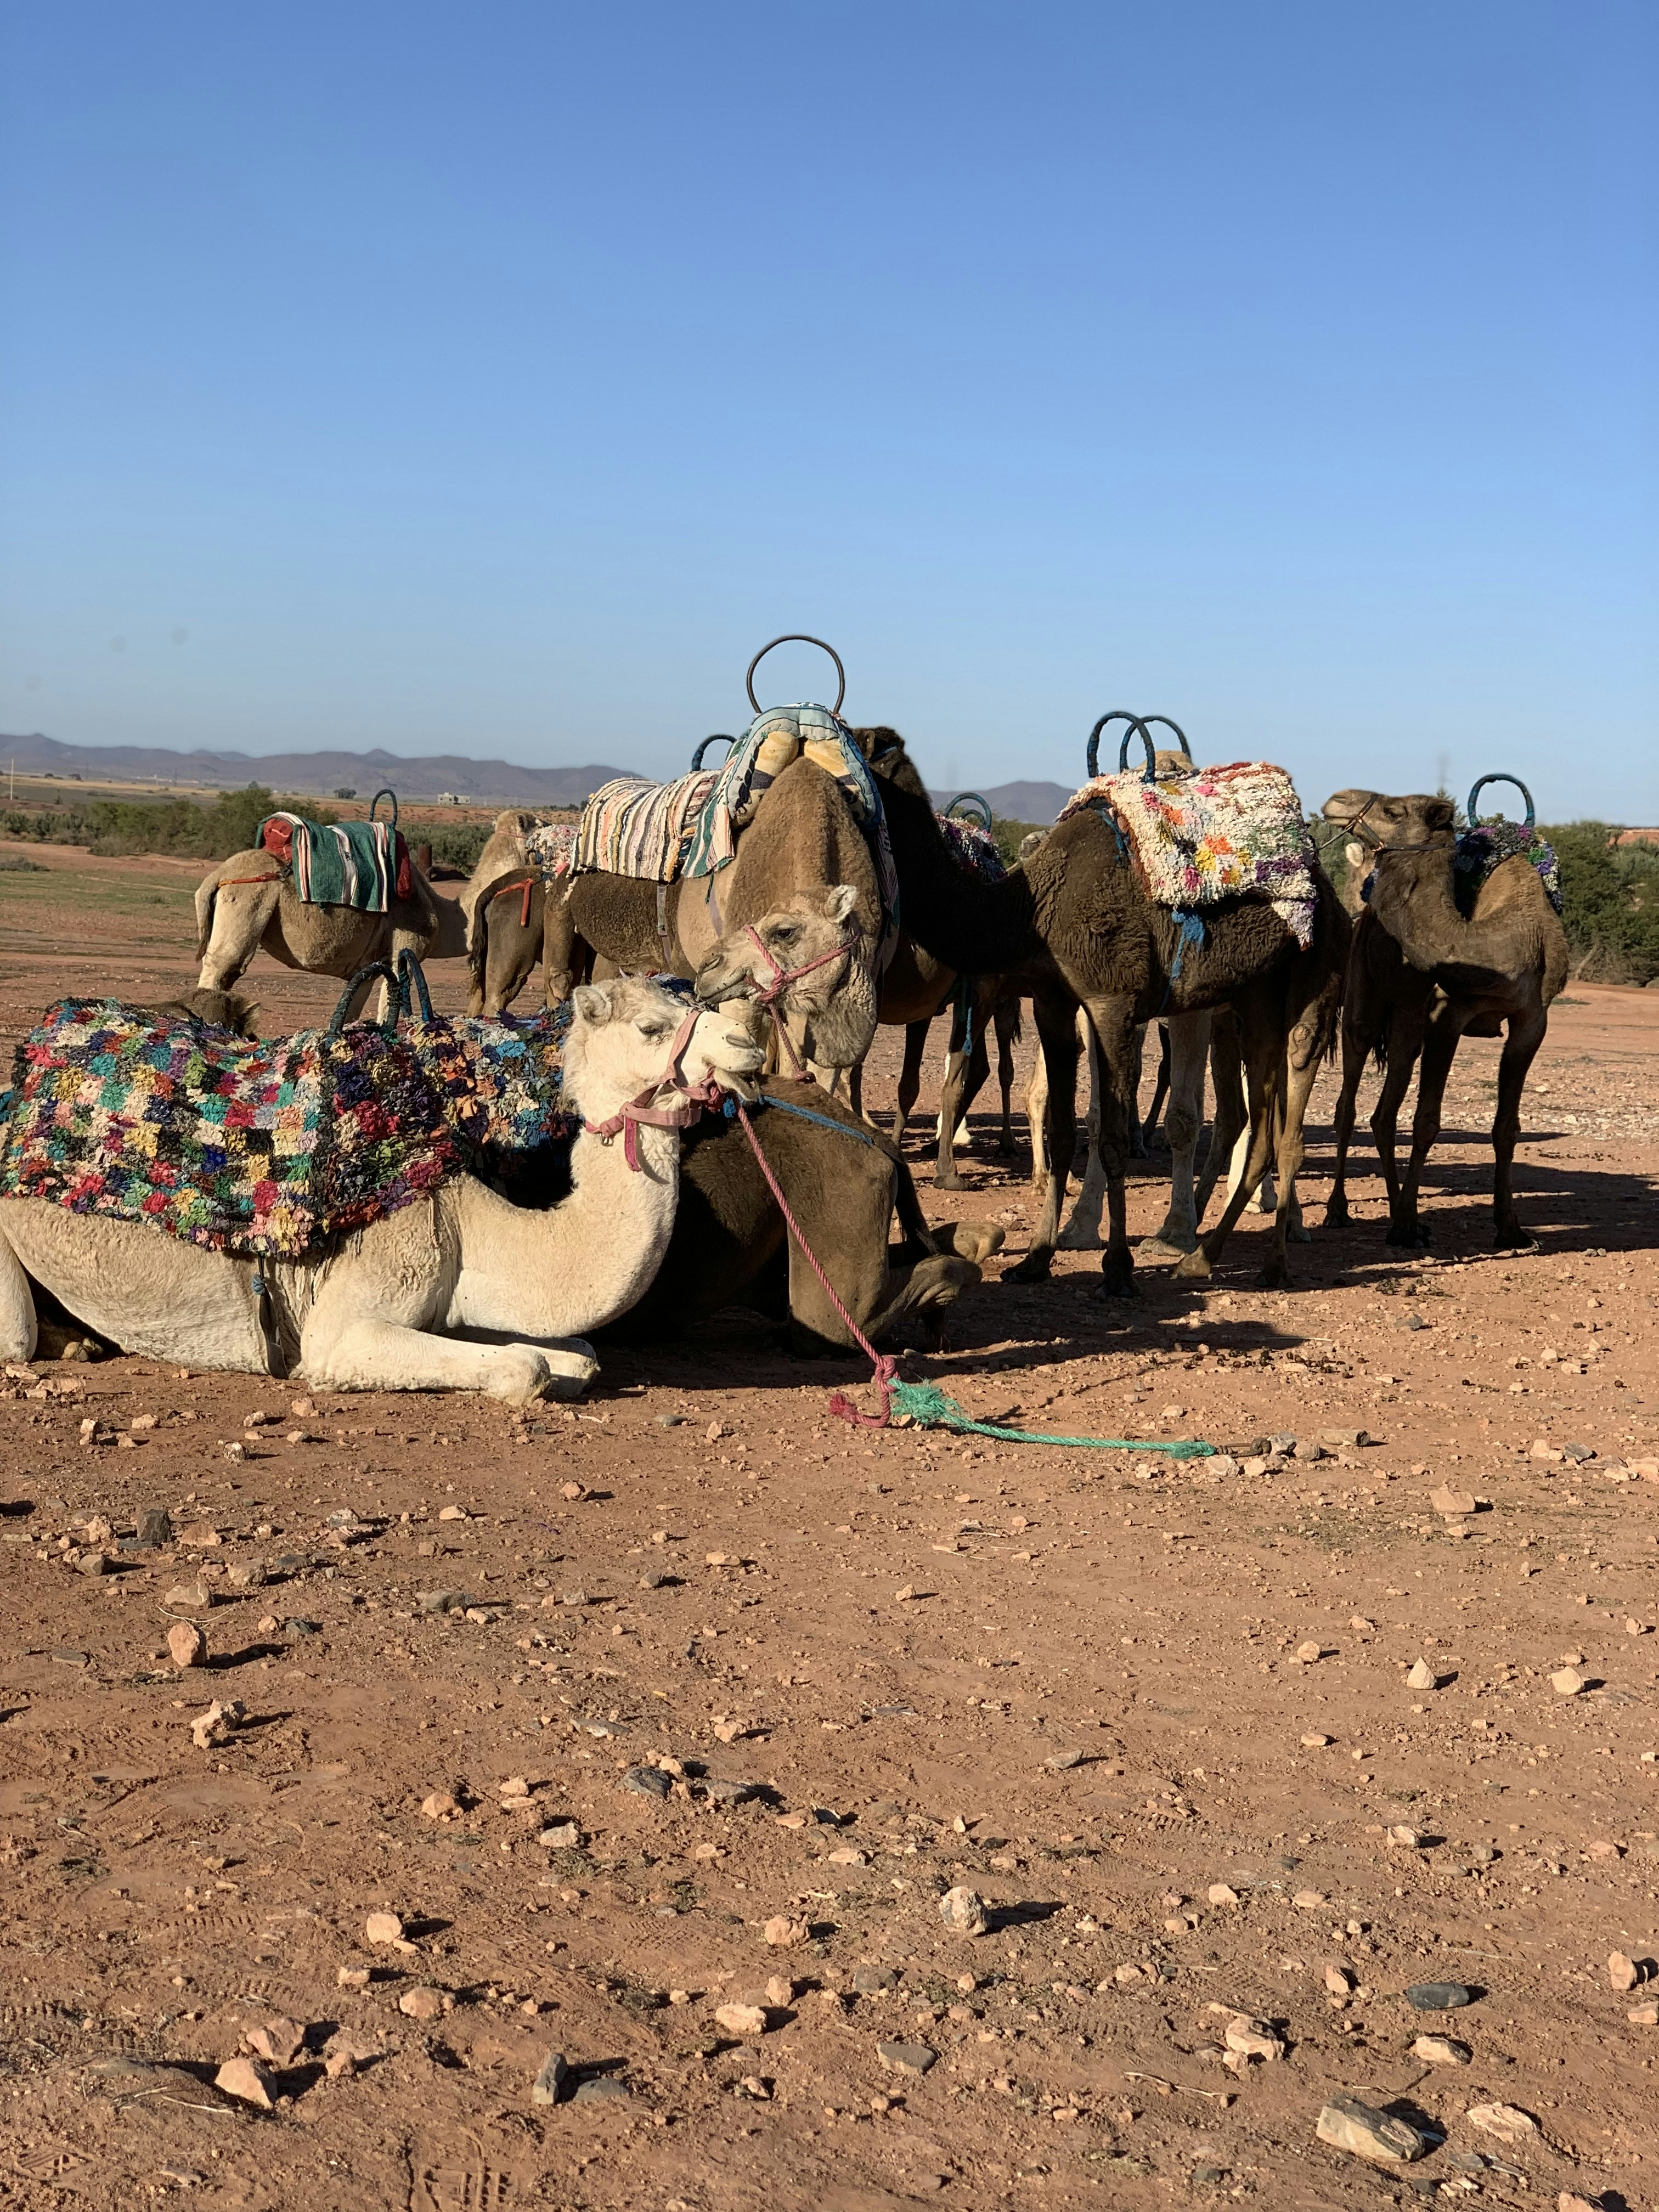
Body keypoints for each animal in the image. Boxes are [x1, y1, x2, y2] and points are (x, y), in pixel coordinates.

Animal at [0, 979, 765, 1402]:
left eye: (690, 1001)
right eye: (652, 1026)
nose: (748, 1045)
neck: (464, 1218)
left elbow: (577, 1358)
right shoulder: (341, 1327)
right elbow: (526, 1368)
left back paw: (80, 1339)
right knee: (14, 1339)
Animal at [194, 849, 468, 1023]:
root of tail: (216, 876)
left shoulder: (368, 966)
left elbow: (352, 1009)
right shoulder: (407, 945)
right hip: (247, 898)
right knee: (223, 967)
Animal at [862, 730, 1349, 1292]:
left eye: (852, 742)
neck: (1027, 907)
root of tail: (1326, 885)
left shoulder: (1111, 1001)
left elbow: (1115, 1137)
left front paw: (1117, 1267)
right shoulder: (1054, 1000)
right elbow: (1064, 1129)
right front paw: (1037, 1257)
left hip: (1316, 978)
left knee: (1290, 1124)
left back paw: (1273, 1261)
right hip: (1254, 1001)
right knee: (1260, 1125)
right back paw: (1201, 1257)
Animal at [1320, 788, 1568, 1249]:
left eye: (1393, 810)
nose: (1337, 800)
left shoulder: (1531, 1021)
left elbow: (1506, 1127)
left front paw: (1510, 1228)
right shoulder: (1446, 1016)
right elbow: (1426, 1123)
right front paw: (1403, 1227)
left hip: (1406, 1024)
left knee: (1383, 1113)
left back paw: (1406, 1215)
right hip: (1364, 1004)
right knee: (1347, 1104)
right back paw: (1340, 1211)